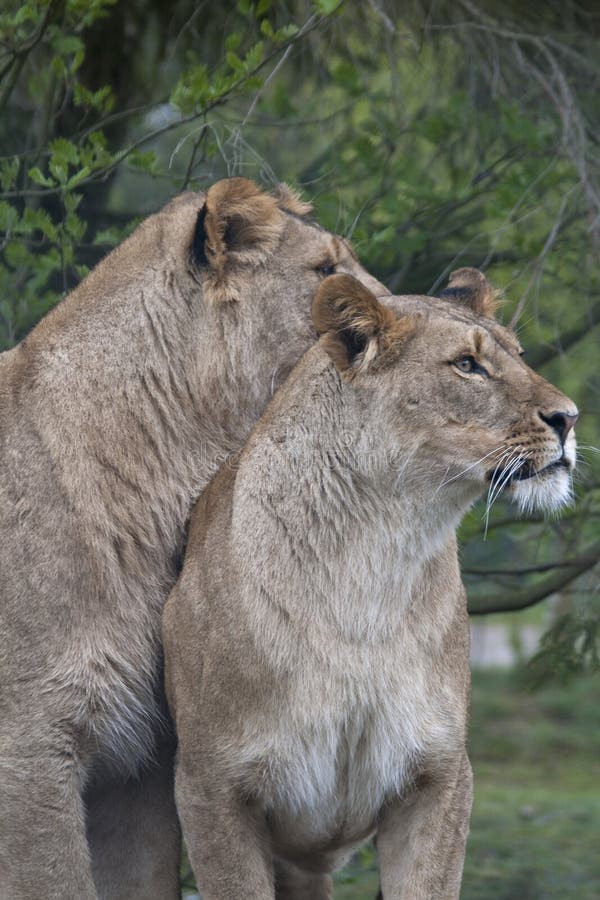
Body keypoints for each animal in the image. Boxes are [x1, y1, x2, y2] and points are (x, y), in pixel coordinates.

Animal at [163, 270, 578, 899]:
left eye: (521, 356)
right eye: (468, 365)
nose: (571, 418)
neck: (376, 557)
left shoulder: (438, 775)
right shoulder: (211, 786)